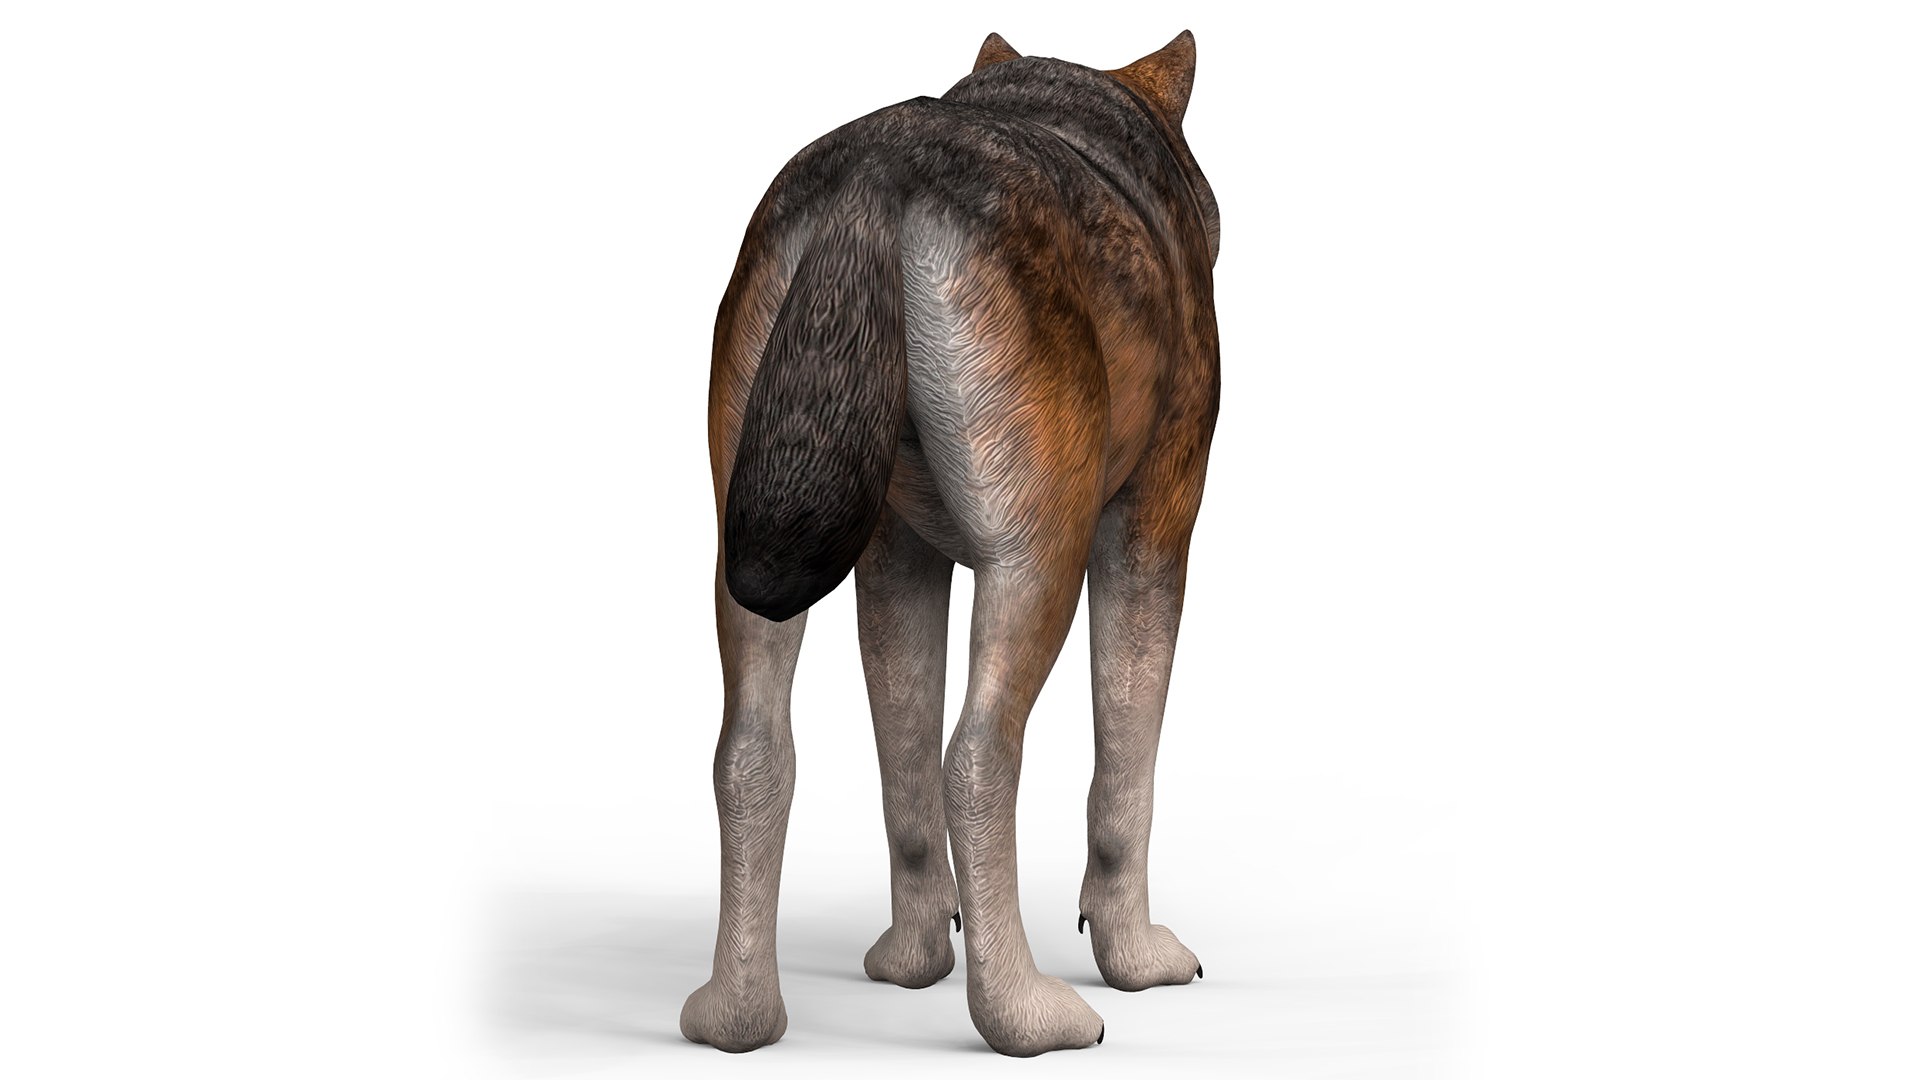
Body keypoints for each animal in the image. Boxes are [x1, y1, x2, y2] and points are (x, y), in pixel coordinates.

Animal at [684, 30, 1221, 1056]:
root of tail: (878, 173)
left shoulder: (897, 560)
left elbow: (900, 766)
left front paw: (911, 960)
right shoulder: (1151, 527)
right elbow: (1123, 770)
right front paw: (1135, 958)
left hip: (747, 556)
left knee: (750, 753)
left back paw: (736, 1018)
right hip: (1036, 563)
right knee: (976, 755)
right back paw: (1025, 1015)